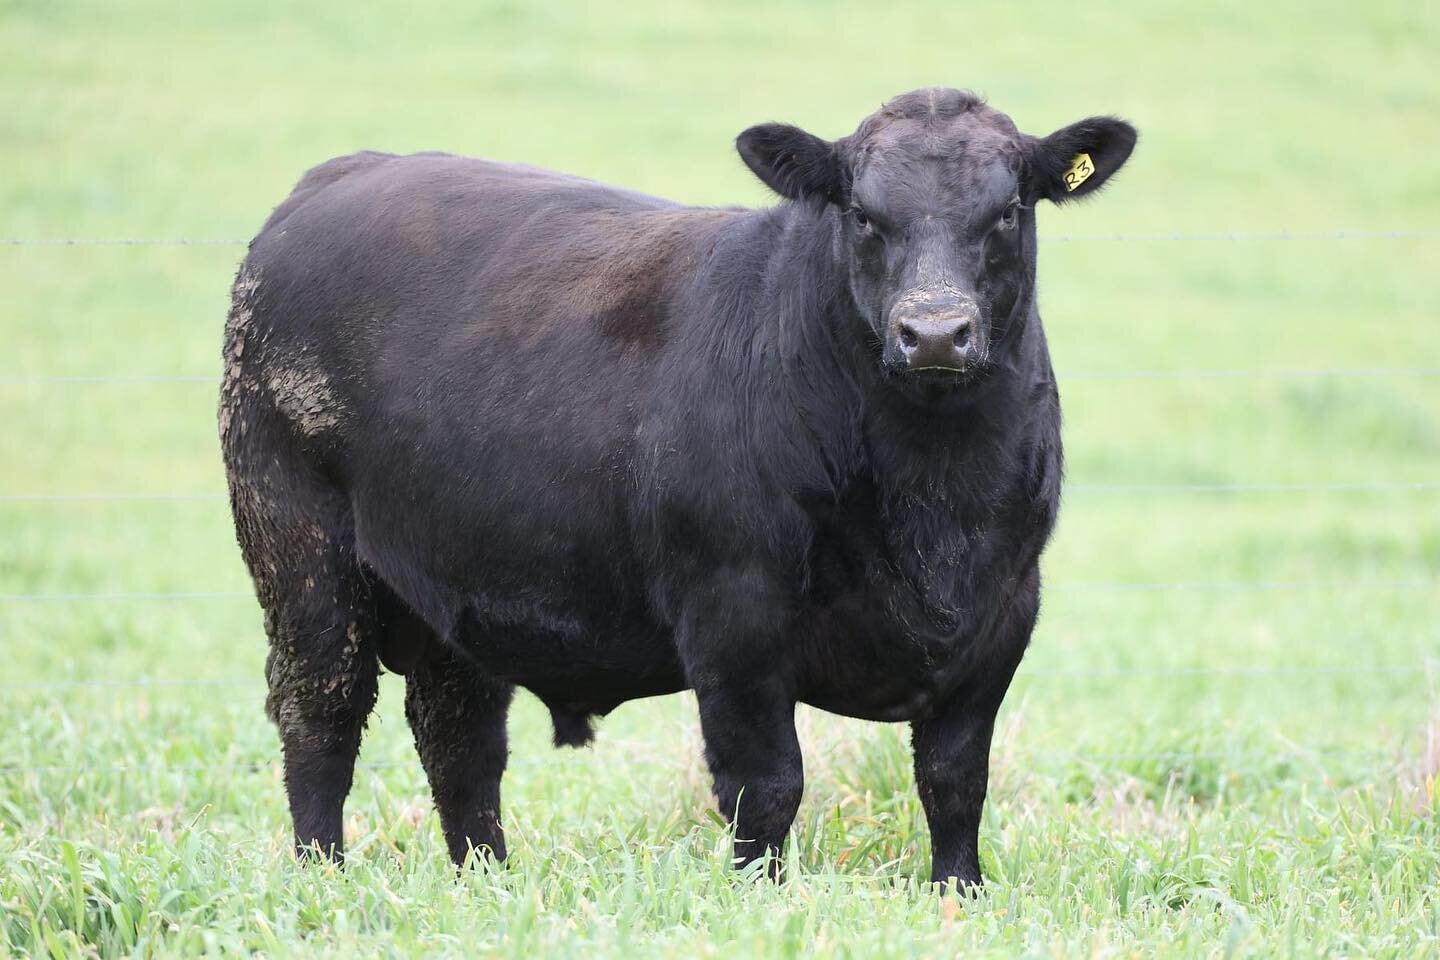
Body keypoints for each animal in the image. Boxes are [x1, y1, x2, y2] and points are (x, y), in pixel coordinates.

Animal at [220, 87, 1136, 889]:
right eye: (862, 214)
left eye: (1008, 211)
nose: (936, 332)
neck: (932, 506)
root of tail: (340, 176)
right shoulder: (733, 615)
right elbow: (766, 786)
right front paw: (761, 897)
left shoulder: (1002, 614)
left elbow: (954, 782)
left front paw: (959, 894)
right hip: (301, 554)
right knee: (321, 716)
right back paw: (323, 876)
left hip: (452, 588)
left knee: (460, 743)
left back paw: (486, 880)